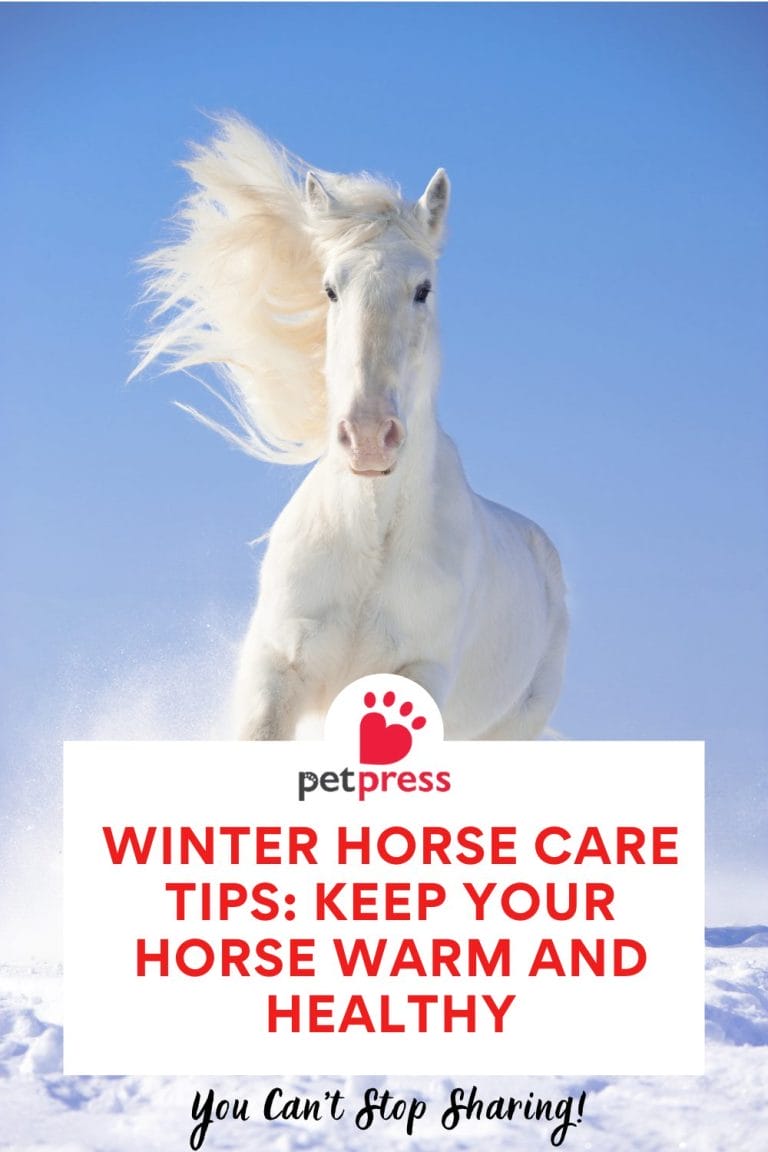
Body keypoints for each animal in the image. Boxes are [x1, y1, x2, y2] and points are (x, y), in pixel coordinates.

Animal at [135, 117, 568, 740]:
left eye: (424, 289)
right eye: (330, 288)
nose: (367, 437)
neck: (369, 536)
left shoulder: (416, 674)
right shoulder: (277, 669)